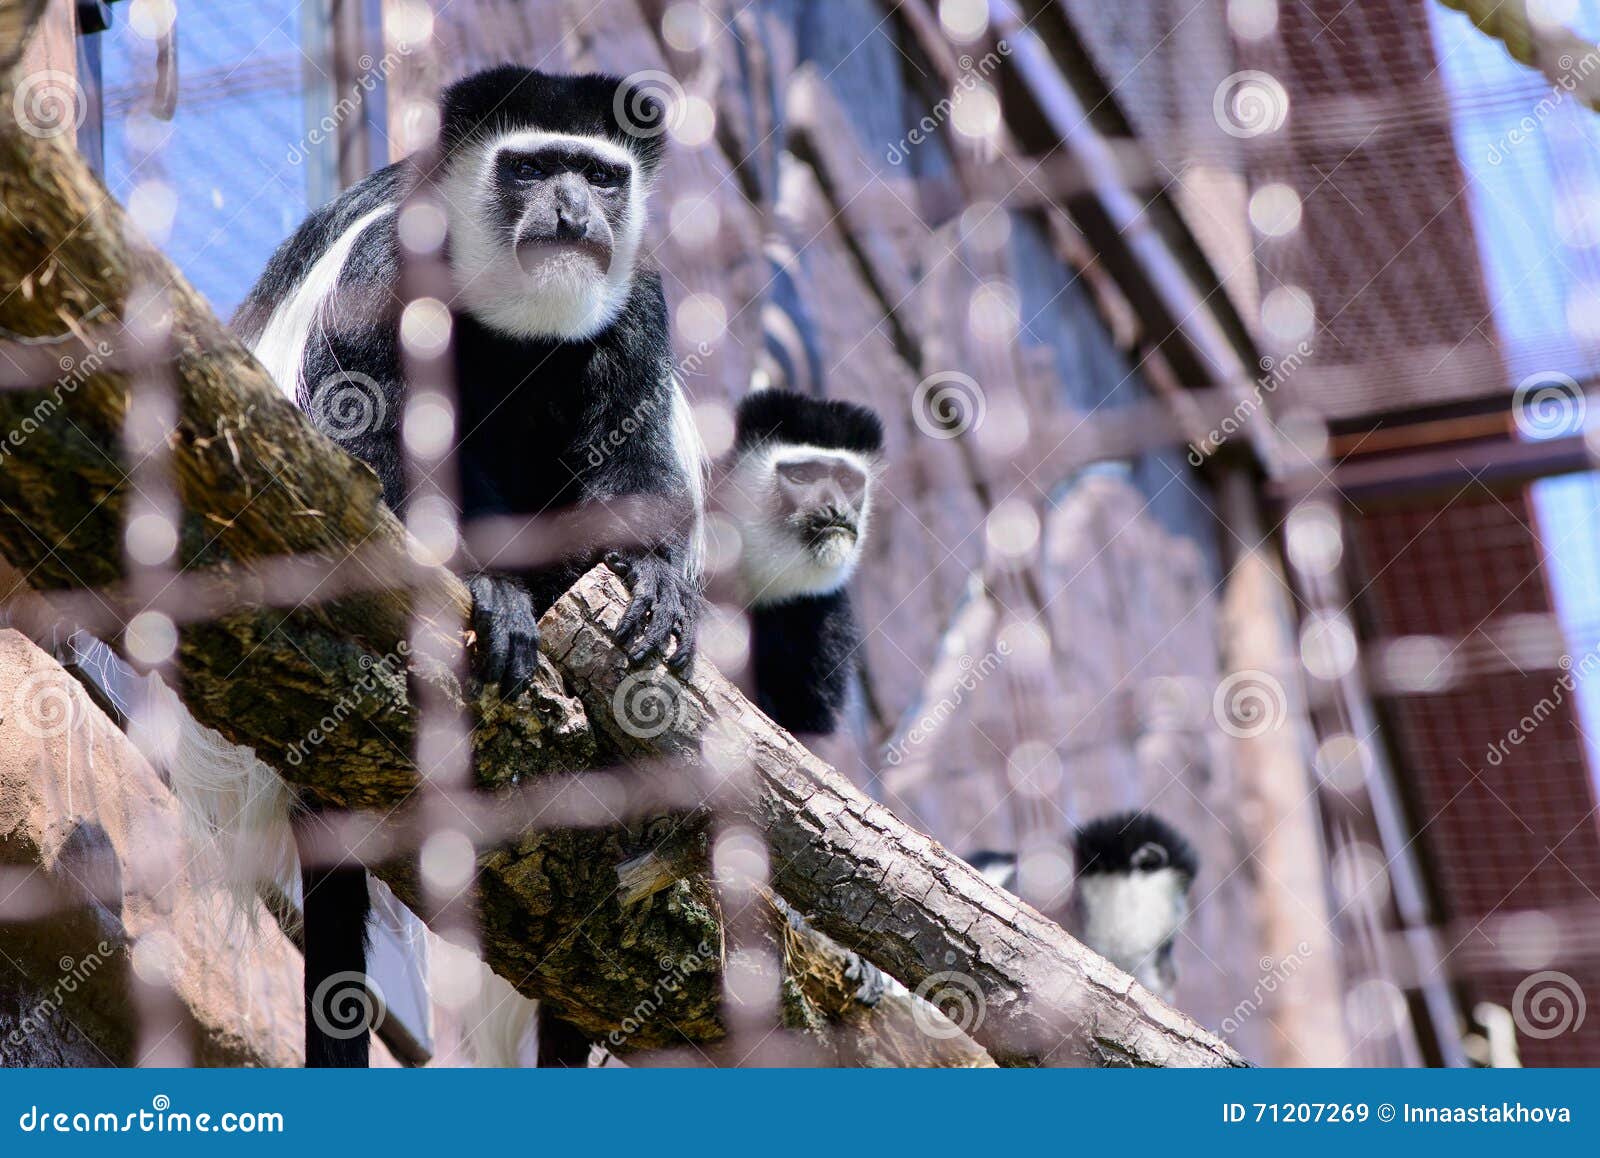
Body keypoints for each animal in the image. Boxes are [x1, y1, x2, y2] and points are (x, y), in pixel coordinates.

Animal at [222, 66, 708, 1066]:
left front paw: (654, 584)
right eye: (527, 167)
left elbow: (635, 462)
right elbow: (360, 440)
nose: (571, 210)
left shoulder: (637, 302)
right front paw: (488, 591)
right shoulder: (379, 274)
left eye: (600, 176)